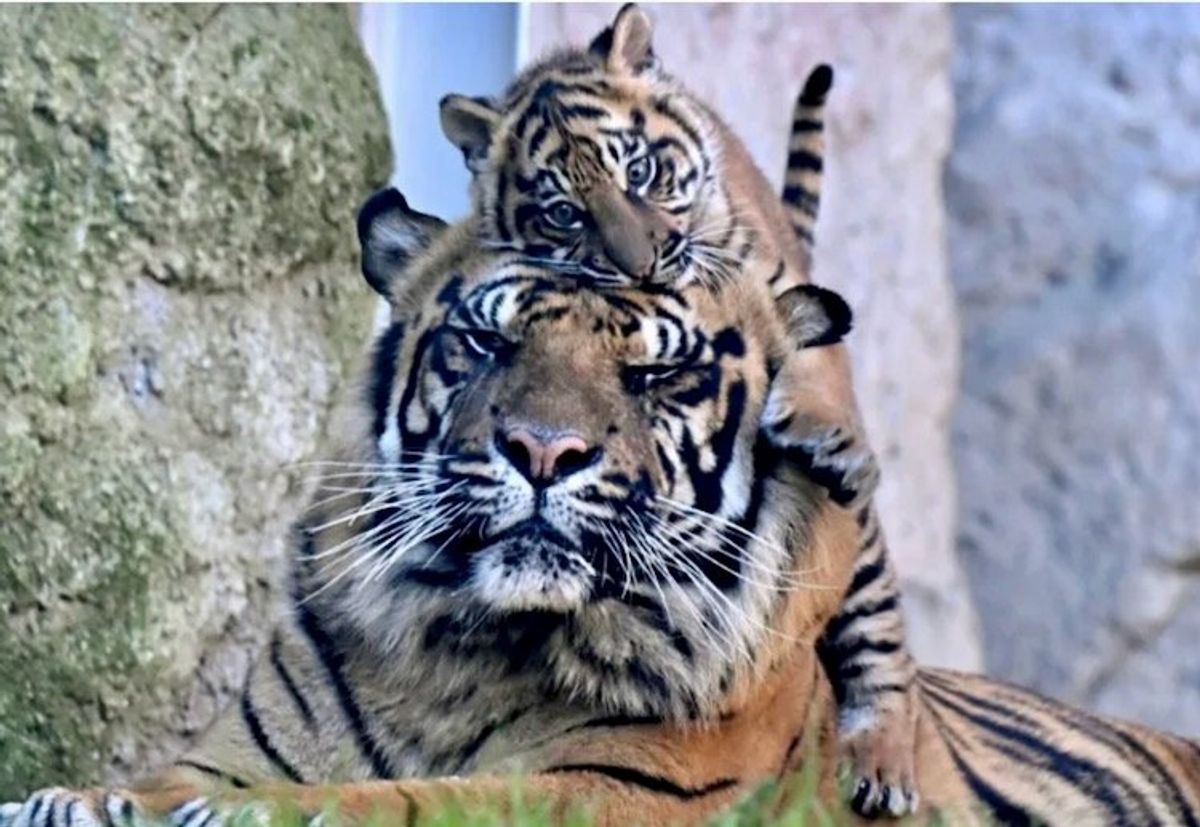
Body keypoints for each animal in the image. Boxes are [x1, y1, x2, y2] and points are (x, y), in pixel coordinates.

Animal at [4, 188, 1198, 827]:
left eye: (655, 373)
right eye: (487, 340)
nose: (543, 450)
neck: (459, 651)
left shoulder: (609, 789)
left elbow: (424, 803)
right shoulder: (239, 743)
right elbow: (167, 773)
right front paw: (80, 796)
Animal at [437, 4, 915, 815]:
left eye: (639, 170)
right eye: (564, 212)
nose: (645, 262)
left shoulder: (770, 281)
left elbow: (810, 363)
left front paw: (821, 422)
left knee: (877, 621)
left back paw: (883, 751)